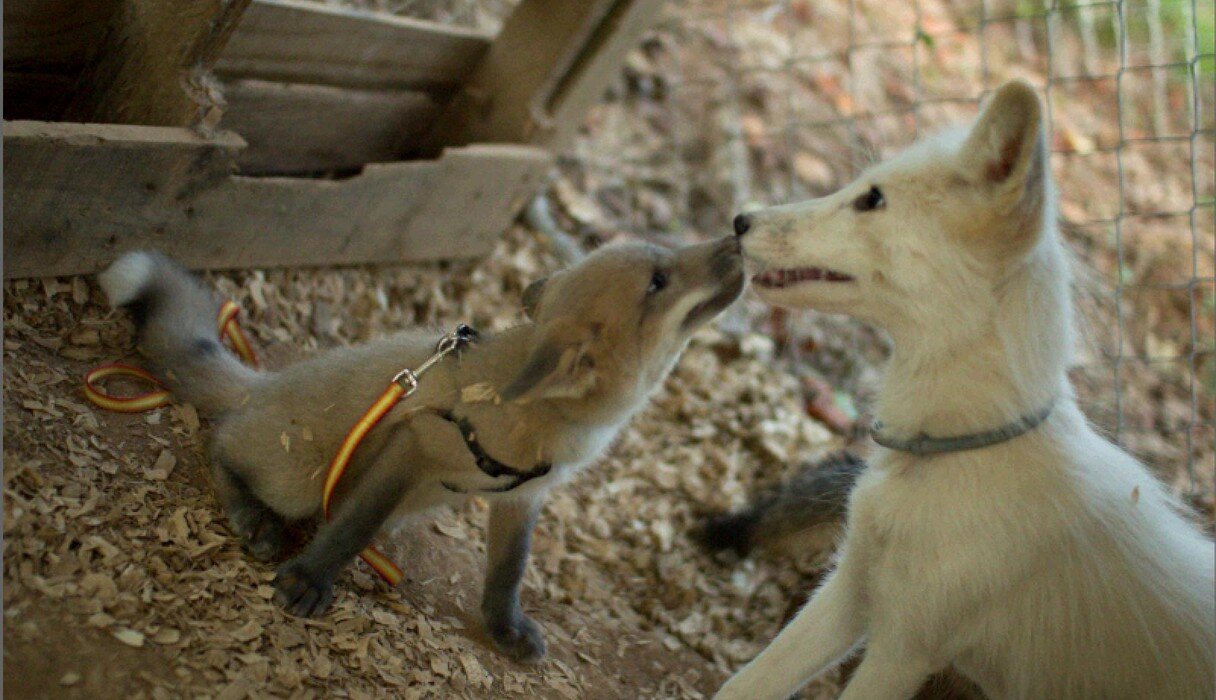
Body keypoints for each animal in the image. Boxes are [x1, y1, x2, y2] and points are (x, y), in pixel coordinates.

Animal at [99, 237, 744, 662]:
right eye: (658, 281)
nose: (737, 233)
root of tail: (265, 382)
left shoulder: (521, 499)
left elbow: (507, 573)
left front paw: (504, 630)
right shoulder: (414, 443)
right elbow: (352, 527)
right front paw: (309, 579)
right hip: (297, 477)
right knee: (220, 441)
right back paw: (252, 514)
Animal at [714, 79, 1216, 699]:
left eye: (871, 200)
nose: (741, 220)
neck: (950, 452)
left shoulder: (901, 650)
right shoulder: (851, 590)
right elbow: (739, 686)